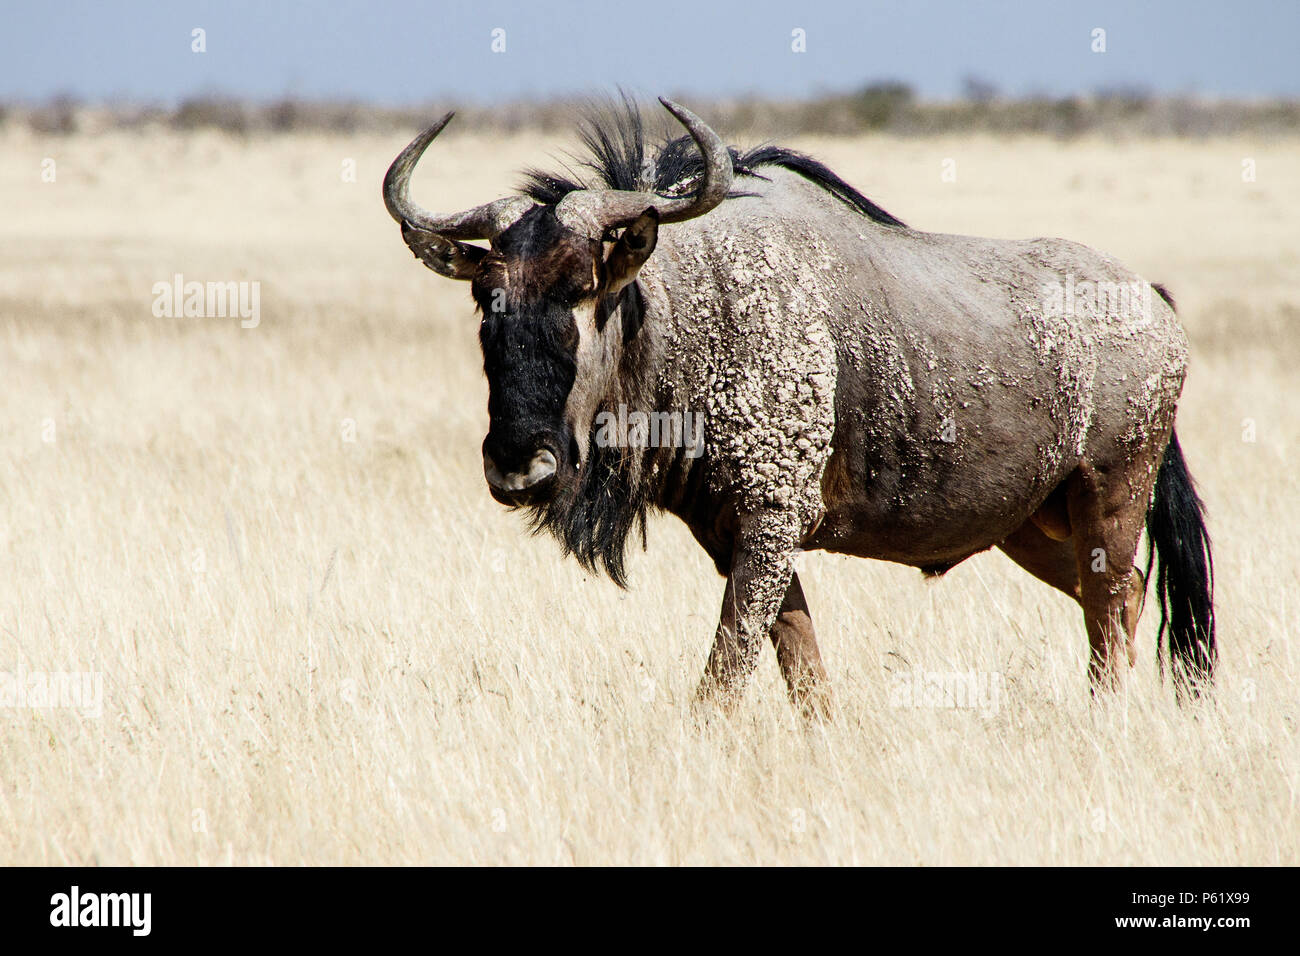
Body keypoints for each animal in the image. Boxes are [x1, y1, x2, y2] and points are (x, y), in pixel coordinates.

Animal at [382, 96, 1215, 716]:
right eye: (485, 298)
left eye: (584, 288)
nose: (519, 467)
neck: (697, 315)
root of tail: (1153, 301)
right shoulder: (734, 536)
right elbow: (804, 677)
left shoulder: (770, 522)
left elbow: (721, 684)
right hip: (1033, 523)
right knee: (1120, 606)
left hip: (1110, 497)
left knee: (1110, 615)